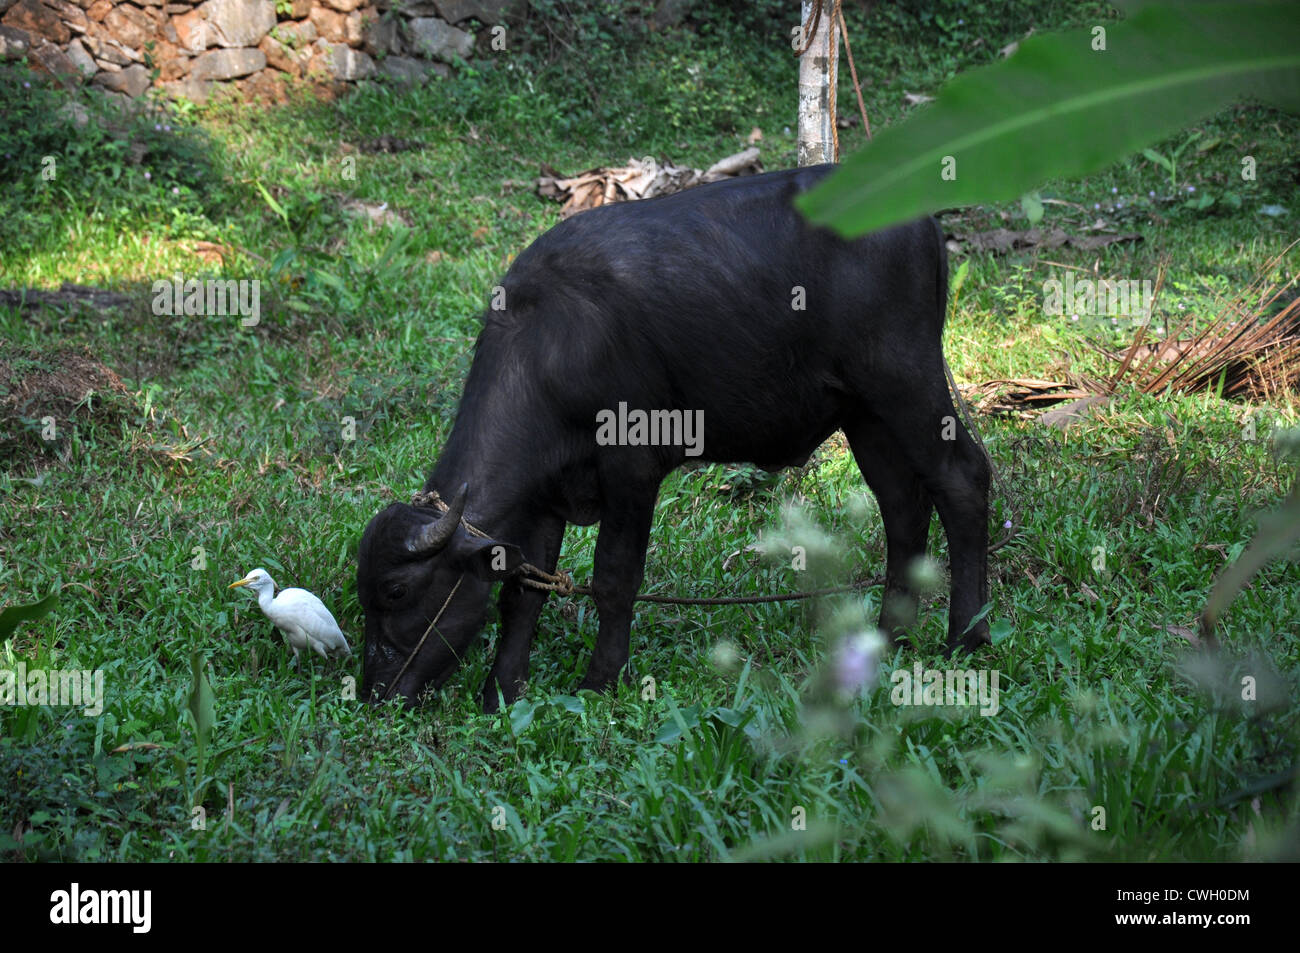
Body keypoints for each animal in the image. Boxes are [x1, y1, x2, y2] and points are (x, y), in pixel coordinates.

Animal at [357, 164, 991, 711]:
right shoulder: (545, 495)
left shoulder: (632, 467)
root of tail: (923, 221)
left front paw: (597, 682)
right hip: (864, 412)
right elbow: (523, 592)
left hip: (905, 380)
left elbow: (614, 578)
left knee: (963, 479)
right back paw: (890, 636)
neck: (548, 347)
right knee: (903, 506)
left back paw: (966, 638)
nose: (374, 693)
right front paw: (501, 692)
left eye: (396, 591)